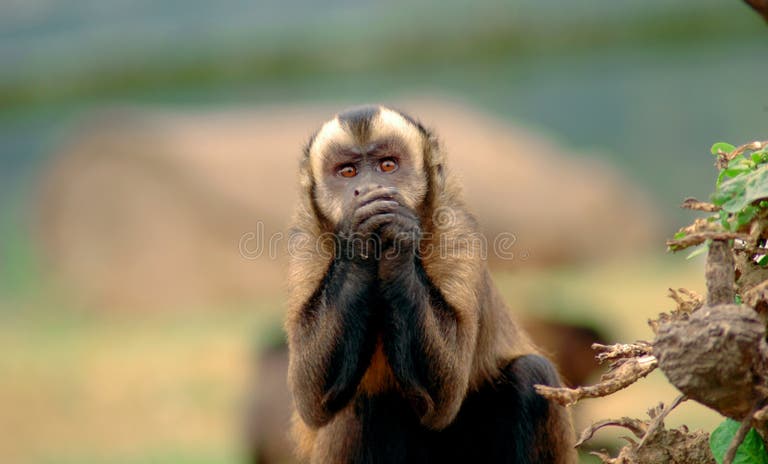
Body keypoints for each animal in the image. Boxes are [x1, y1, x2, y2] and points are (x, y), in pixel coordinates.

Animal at [284, 105, 577, 463]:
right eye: (348, 172)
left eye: (387, 166)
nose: (367, 188)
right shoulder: (304, 242)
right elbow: (311, 400)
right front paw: (358, 241)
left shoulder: (459, 230)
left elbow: (444, 398)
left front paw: (396, 239)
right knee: (367, 401)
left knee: (532, 374)